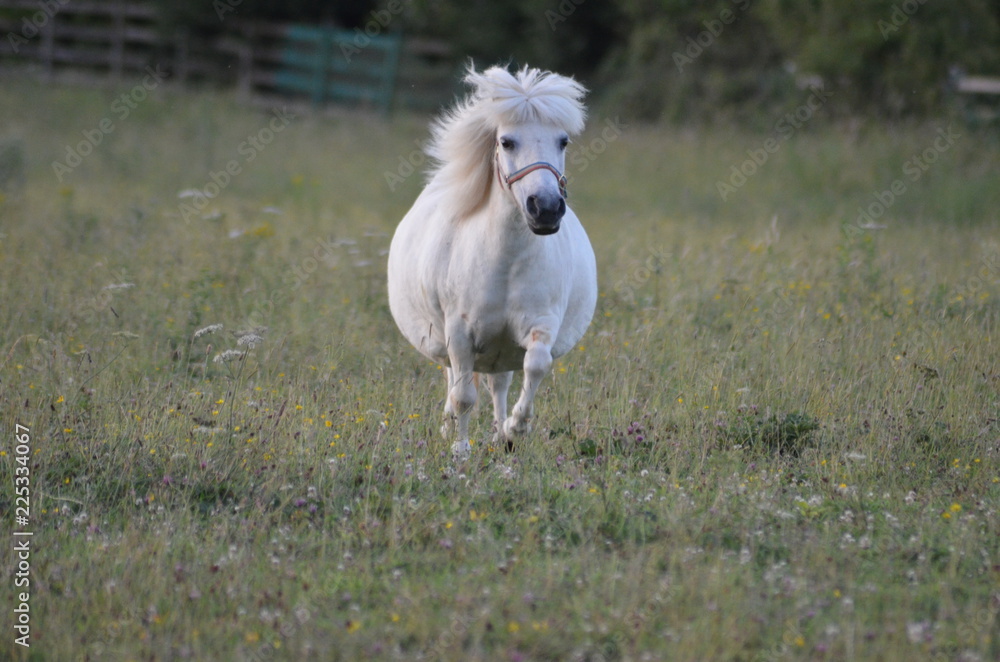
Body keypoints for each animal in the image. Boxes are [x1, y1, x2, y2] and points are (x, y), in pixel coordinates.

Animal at [387, 64, 598, 457]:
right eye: (506, 142)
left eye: (563, 141)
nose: (546, 209)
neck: (505, 263)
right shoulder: (459, 335)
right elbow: (463, 396)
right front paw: (460, 451)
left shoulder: (541, 325)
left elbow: (537, 366)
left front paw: (516, 429)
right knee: (456, 382)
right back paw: (450, 429)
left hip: (502, 349)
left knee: (500, 385)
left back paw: (502, 435)